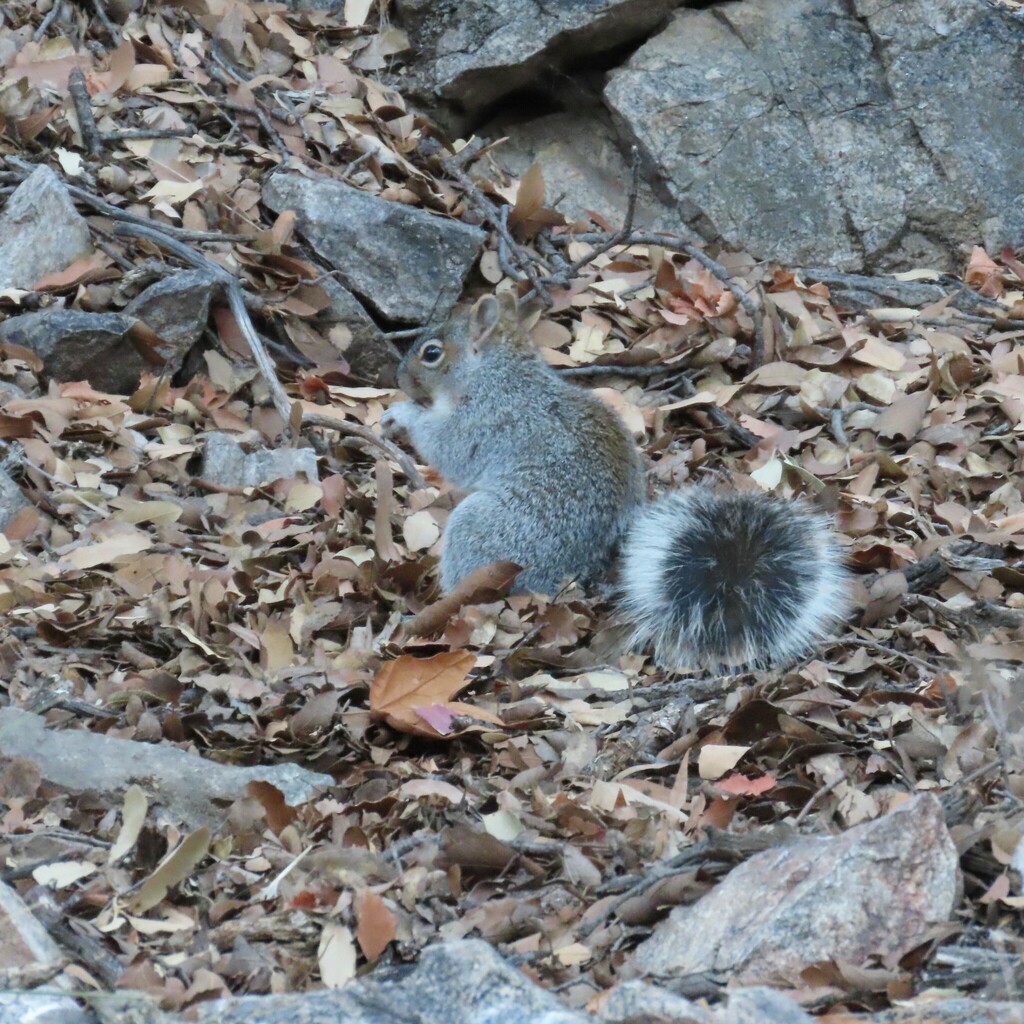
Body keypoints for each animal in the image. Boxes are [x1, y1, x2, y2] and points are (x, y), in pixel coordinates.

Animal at [381, 291, 849, 671]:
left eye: (431, 353)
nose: (398, 378)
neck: (497, 374)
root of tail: (586, 573)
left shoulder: (486, 420)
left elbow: (450, 450)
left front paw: (401, 414)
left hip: (486, 534)